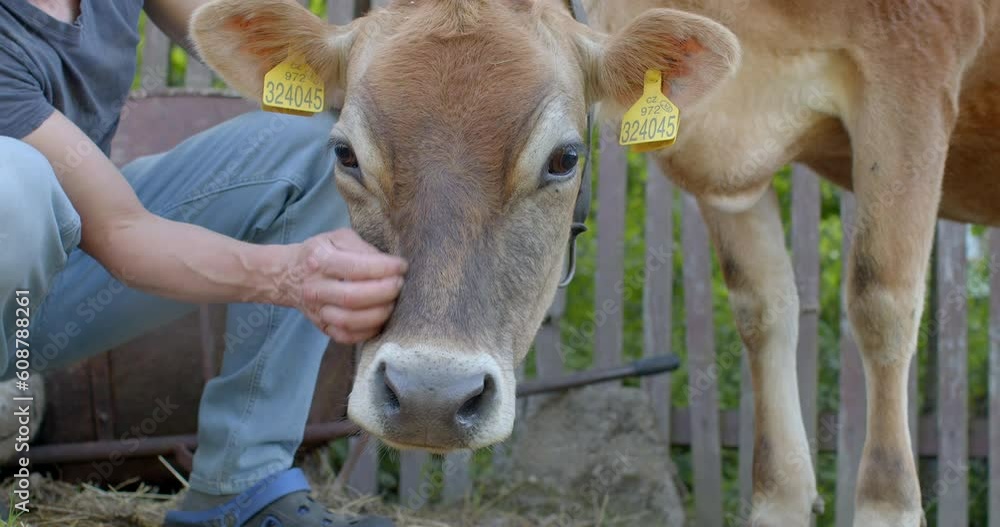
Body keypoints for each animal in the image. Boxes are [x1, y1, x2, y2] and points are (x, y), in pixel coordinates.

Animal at [190, 0, 999, 525]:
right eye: (344, 153)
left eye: (564, 158)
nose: (429, 395)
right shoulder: (724, 171)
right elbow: (765, 312)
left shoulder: (912, 70)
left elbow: (880, 300)